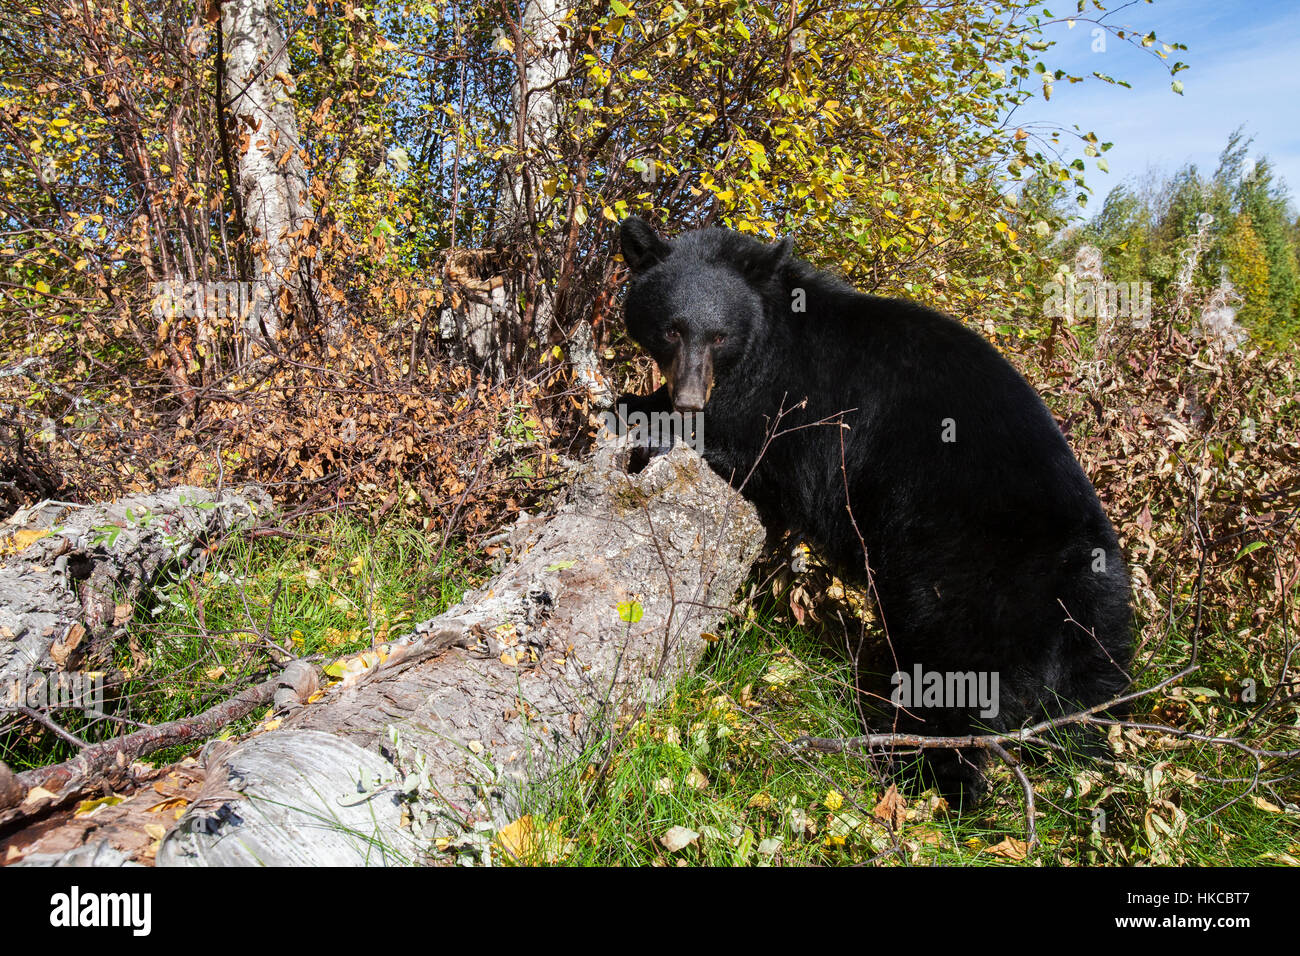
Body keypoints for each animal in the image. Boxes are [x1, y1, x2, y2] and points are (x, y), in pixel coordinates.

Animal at [615, 215, 1133, 806]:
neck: (770, 336)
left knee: (952, 683)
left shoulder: (806, 408)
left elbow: (763, 456)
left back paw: (929, 778)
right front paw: (636, 405)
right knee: (1088, 707)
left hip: (967, 584)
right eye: (671, 329)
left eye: (719, 335)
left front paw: (662, 431)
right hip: (1094, 642)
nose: (689, 398)